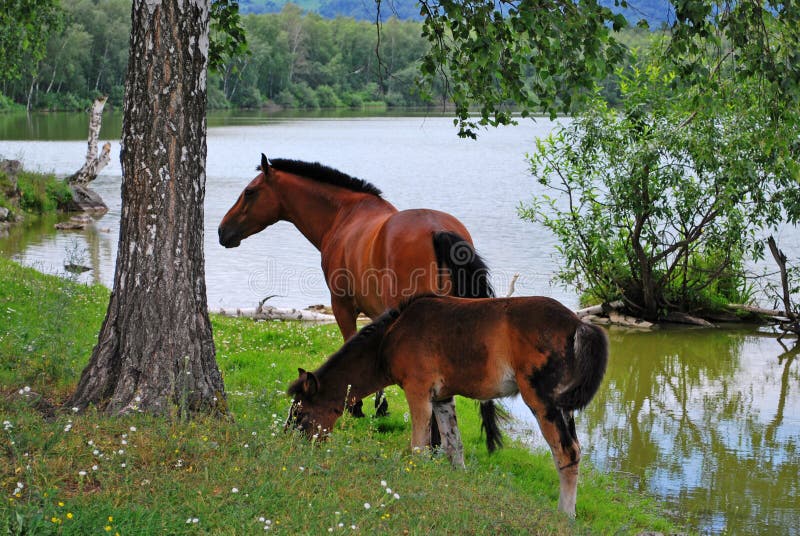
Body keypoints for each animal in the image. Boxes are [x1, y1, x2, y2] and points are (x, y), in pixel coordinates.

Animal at [218, 153, 495, 424]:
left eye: (250, 192)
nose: (222, 231)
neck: (344, 216)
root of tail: (437, 230)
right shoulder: (376, 311)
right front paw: (379, 406)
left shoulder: (342, 306)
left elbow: (352, 340)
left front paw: (356, 406)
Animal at [286, 294, 609, 517]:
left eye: (301, 412)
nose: (290, 442)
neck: (391, 336)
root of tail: (579, 324)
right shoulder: (441, 397)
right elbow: (454, 446)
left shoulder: (418, 390)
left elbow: (419, 445)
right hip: (564, 406)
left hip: (543, 400)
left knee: (566, 453)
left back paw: (565, 514)